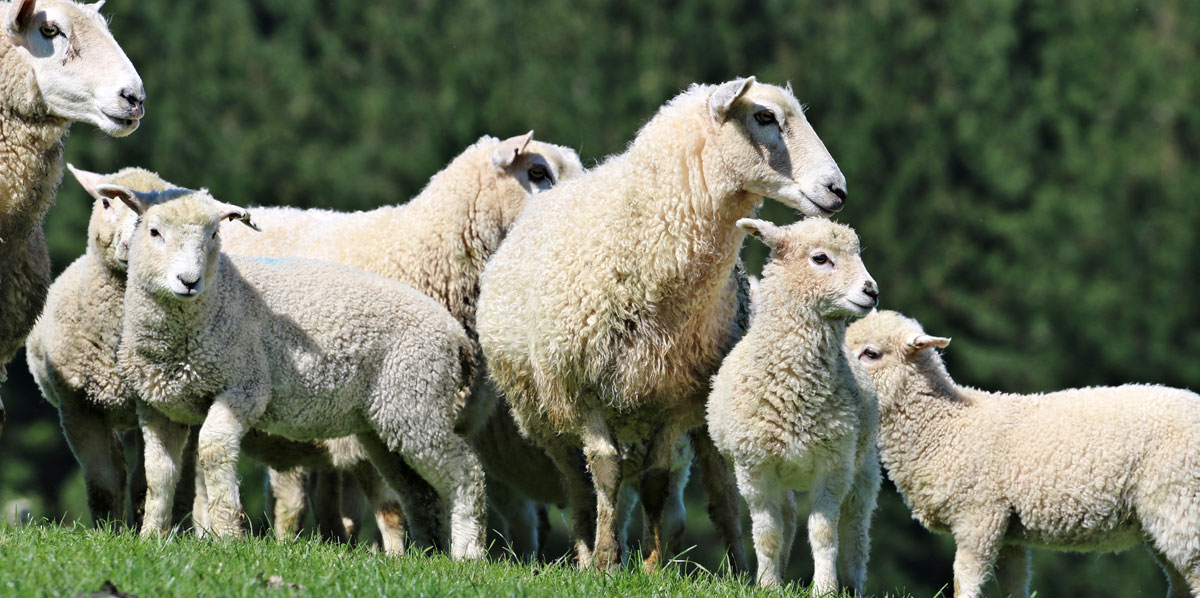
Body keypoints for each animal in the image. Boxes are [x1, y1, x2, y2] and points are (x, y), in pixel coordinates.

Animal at [24, 165, 172, 526]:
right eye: (106, 202)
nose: (131, 244)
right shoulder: (77, 408)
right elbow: (104, 479)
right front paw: (108, 528)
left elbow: (146, 478)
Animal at [110, 186, 487, 560]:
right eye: (154, 232)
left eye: (214, 234)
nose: (189, 281)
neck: (218, 298)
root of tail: (457, 336)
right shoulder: (158, 407)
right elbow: (158, 476)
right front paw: (150, 538)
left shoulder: (244, 387)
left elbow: (214, 450)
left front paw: (227, 536)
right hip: (387, 422)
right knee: (419, 492)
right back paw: (426, 554)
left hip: (417, 398)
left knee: (466, 472)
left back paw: (467, 553)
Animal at [477, 76, 849, 570]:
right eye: (764, 116)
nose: (838, 190)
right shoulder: (582, 387)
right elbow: (605, 470)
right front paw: (607, 561)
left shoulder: (678, 396)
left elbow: (656, 480)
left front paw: (652, 568)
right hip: (544, 414)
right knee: (578, 487)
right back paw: (585, 552)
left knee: (720, 495)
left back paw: (738, 567)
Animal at [707, 218, 880, 593]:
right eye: (820, 258)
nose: (871, 291)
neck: (795, 391)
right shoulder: (754, 469)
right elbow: (768, 534)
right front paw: (768, 586)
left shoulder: (835, 466)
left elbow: (824, 534)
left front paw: (825, 589)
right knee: (785, 518)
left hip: (863, 470)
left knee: (856, 535)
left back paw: (854, 587)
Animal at [845, 310, 1200, 598]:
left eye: (871, 353)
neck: (946, 425)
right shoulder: (1008, 531)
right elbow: (1014, 584)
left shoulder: (979, 515)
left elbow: (965, 580)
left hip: (1181, 503)